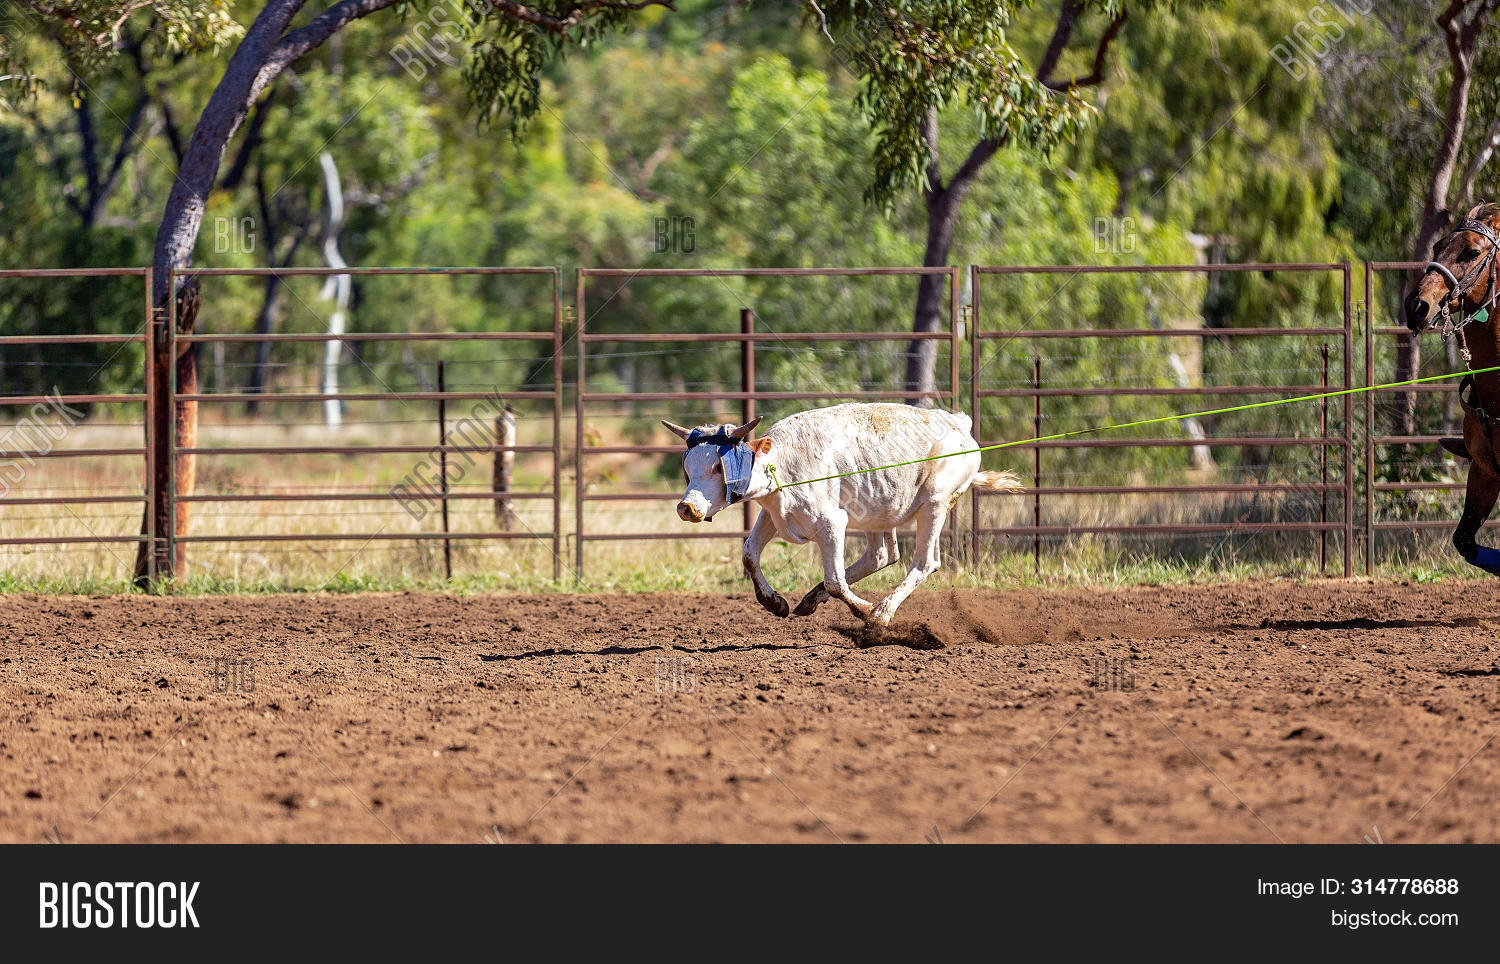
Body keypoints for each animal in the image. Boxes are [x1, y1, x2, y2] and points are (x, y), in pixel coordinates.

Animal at [661, 402, 1021, 627]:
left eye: (717, 467)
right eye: (688, 468)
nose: (686, 507)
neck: (782, 463)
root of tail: (958, 424)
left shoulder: (832, 523)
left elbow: (836, 580)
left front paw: (865, 610)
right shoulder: (774, 514)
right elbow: (749, 554)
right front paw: (774, 602)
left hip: (935, 504)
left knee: (924, 562)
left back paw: (881, 614)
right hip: (878, 511)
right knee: (881, 556)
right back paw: (811, 599)